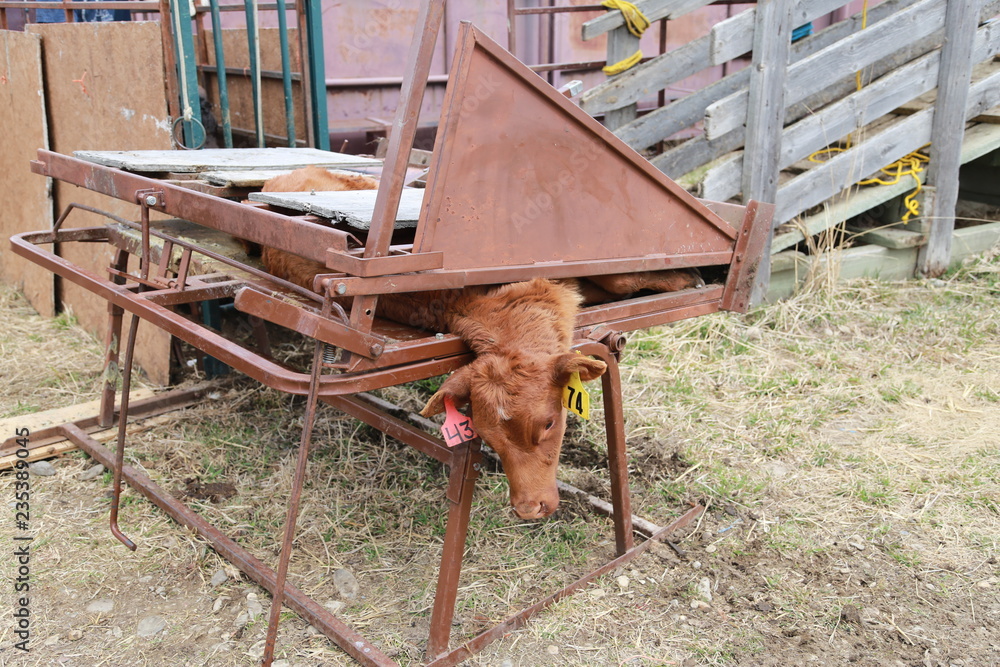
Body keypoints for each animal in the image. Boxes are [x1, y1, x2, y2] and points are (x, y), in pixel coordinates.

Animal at [251, 167, 703, 519]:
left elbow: (622, 276)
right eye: (486, 436)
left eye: (549, 423)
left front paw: (689, 274)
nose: (529, 508)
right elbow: (622, 277)